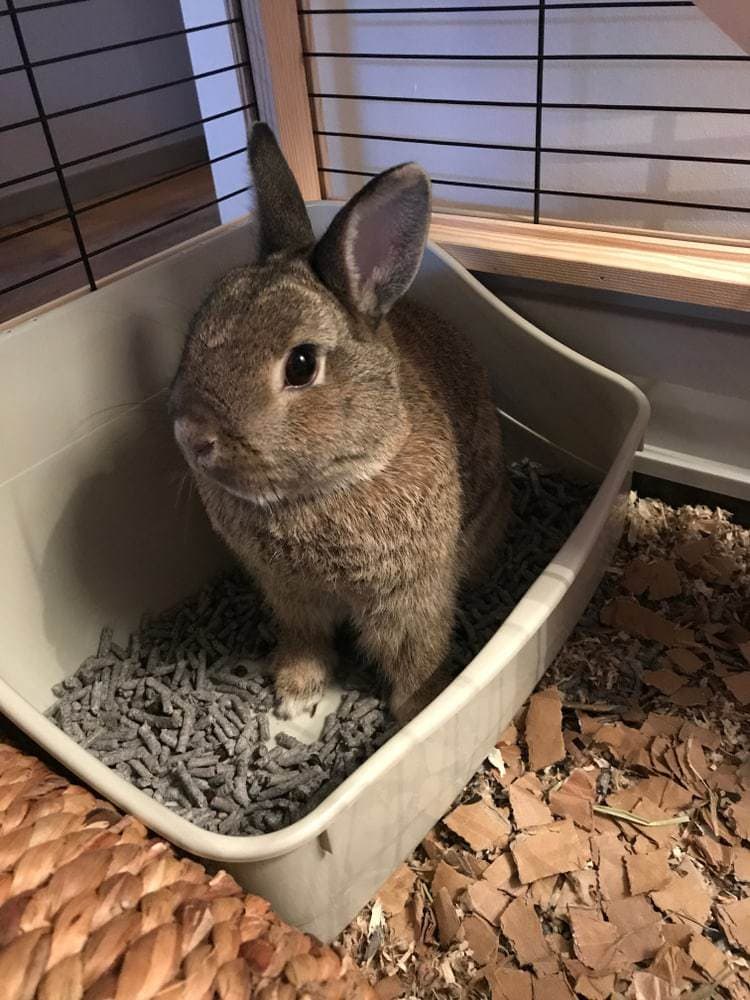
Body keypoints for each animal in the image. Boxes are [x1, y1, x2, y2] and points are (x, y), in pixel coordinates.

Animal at [170, 122, 510, 723]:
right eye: (197, 330)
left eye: (302, 364)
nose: (193, 435)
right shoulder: (290, 595)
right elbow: (306, 639)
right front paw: (295, 694)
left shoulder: (409, 599)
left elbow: (415, 656)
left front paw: (418, 711)